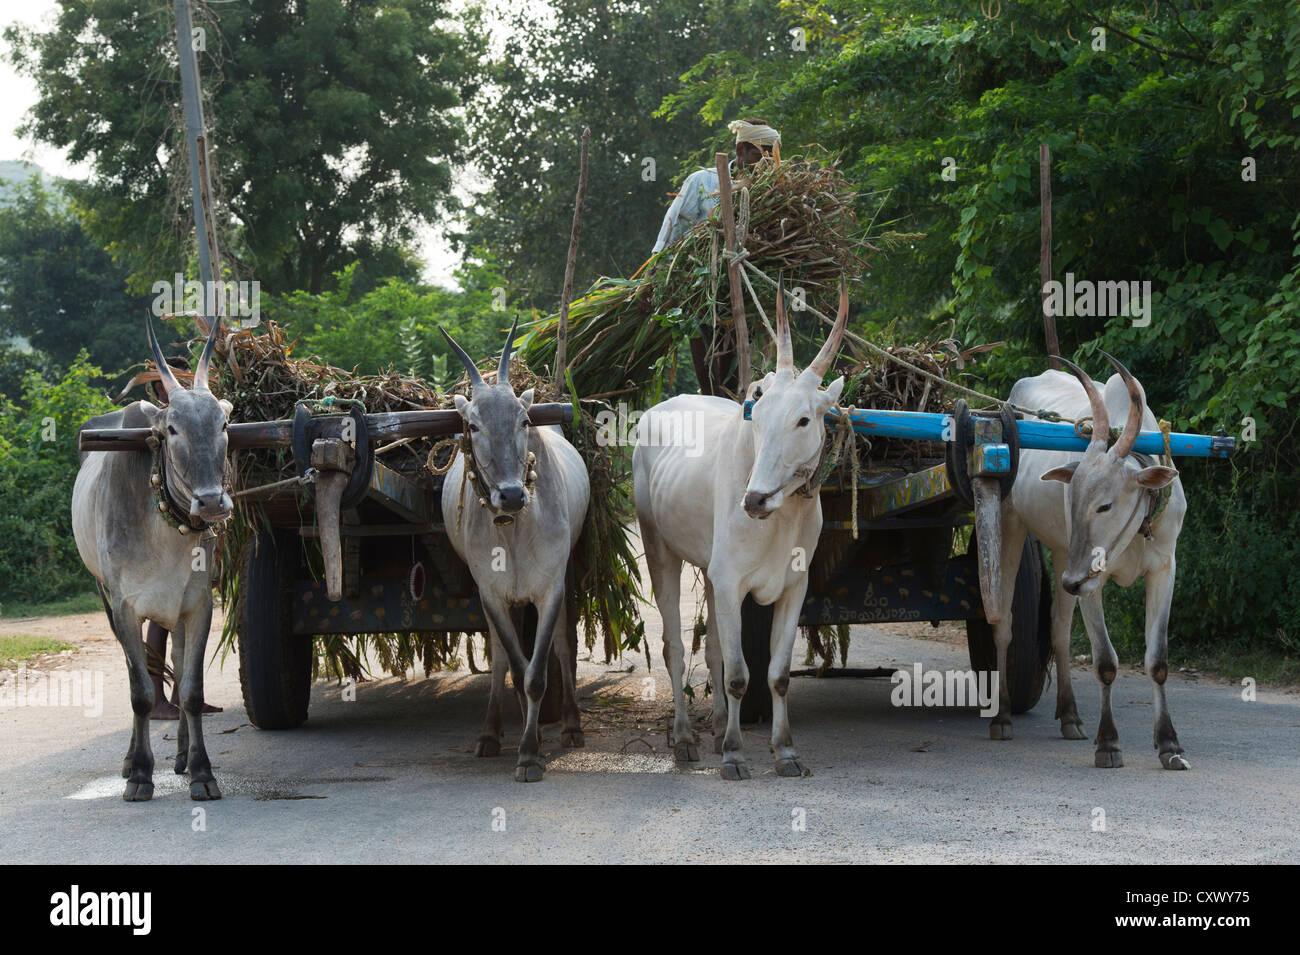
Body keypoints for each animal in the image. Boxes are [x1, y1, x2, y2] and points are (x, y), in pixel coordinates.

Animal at [72, 314, 233, 801]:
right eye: (172, 430)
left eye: (223, 424)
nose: (211, 502)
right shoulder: (124, 607)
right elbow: (141, 691)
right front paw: (141, 773)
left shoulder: (197, 605)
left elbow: (192, 689)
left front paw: (202, 771)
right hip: (106, 597)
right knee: (137, 673)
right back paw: (131, 760)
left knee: (177, 672)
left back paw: (181, 755)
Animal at [439, 319, 590, 782]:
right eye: (472, 426)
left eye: (523, 421)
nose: (510, 495)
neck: (514, 529)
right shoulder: (490, 593)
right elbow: (517, 666)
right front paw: (527, 743)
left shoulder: (551, 589)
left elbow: (539, 673)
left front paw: (530, 752)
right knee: (501, 657)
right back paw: (490, 735)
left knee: (562, 645)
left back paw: (571, 726)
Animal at [633, 279, 849, 780]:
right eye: (758, 414)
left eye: (804, 419)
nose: (753, 501)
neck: (781, 519)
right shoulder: (732, 583)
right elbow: (736, 675)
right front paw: (734, 754)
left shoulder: (792, 587)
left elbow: (777, 675)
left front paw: (785, 752)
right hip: (660, 551)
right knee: (675, 646)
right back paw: (685, 739)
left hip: (711, 576)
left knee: (712, 647)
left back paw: (714, 730)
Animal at [991, 352, 1188, 770]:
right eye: (1073, 495)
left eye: (1105, 505)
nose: (1072, 582)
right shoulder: (1092, 580)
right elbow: (1105, 662)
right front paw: (1108, 743)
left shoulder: (1164, 569)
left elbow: (1158, 661)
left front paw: (1169, 744)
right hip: (1011, 527)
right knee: (1004, 624)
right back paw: (1001, 716)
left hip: (1065, 554)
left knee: (1059, 629)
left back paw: (1070, 715)